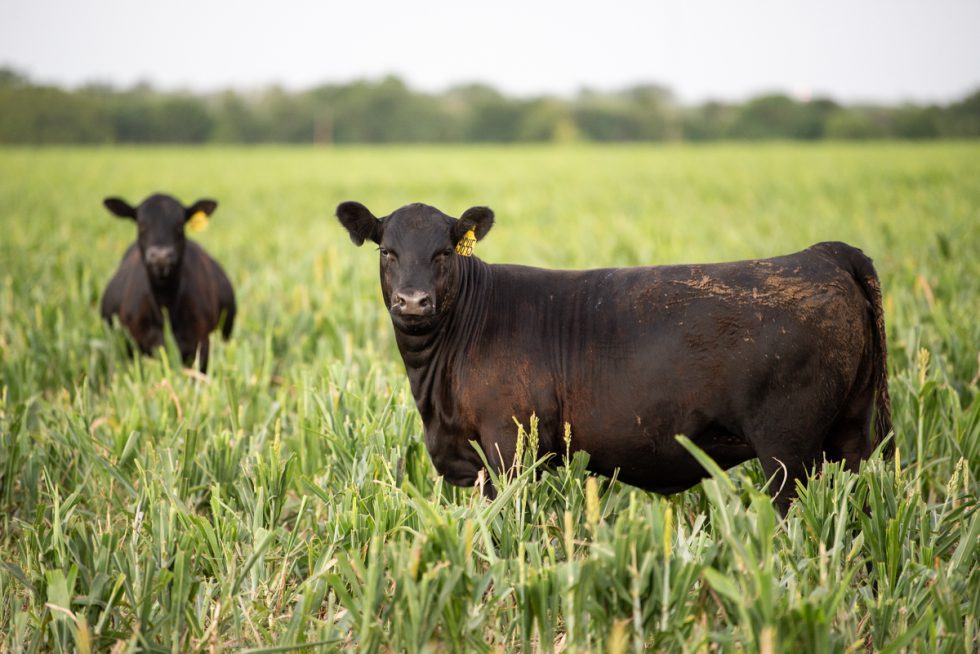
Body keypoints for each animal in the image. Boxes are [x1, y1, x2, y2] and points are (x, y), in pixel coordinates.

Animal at [100, 193, 236, 373]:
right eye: (141, 224)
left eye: (179, 225)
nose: (161, 256)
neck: (165, 307)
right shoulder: (133, 346)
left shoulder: (202, 344)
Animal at [336, 201, 892, 512]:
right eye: (387, 251)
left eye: (444, 253)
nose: (412, 301)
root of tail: (822, 254)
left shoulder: (508, 447)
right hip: (848, 432)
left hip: (788, 448)